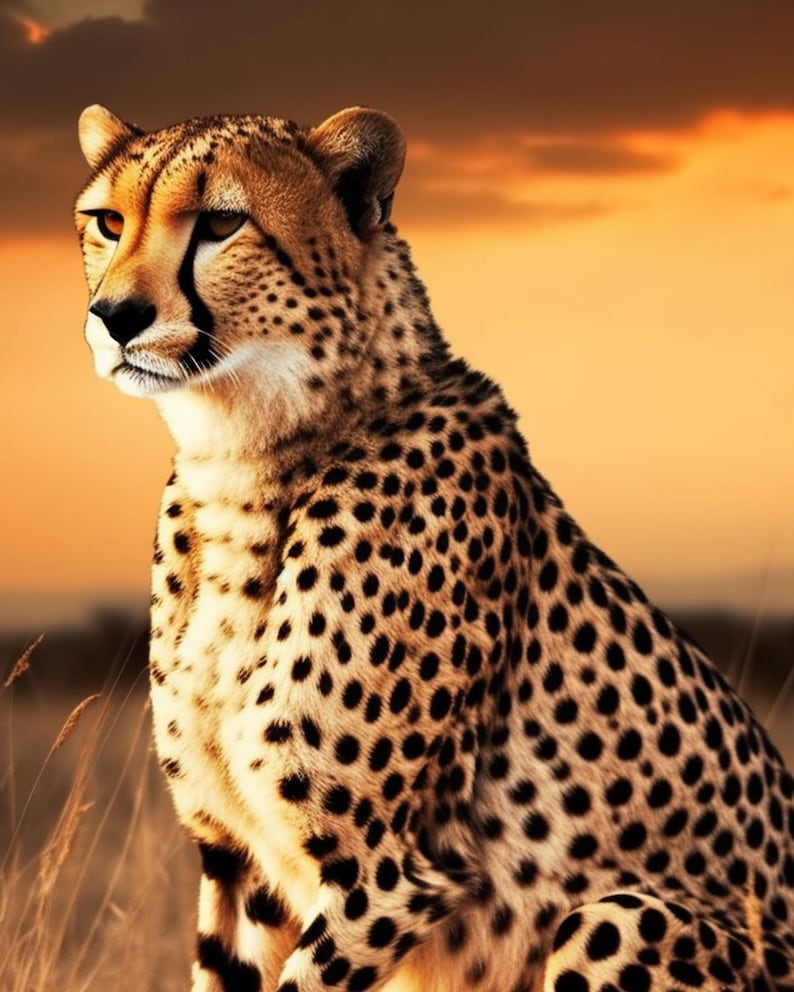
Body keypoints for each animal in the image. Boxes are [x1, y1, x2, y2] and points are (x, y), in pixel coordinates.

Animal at [75, 103, 794, 992]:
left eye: (219, 223)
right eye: (108, 222)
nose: (114, 317)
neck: (243, 461)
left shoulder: (386, 876)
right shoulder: (236, 855)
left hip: (616, 919)